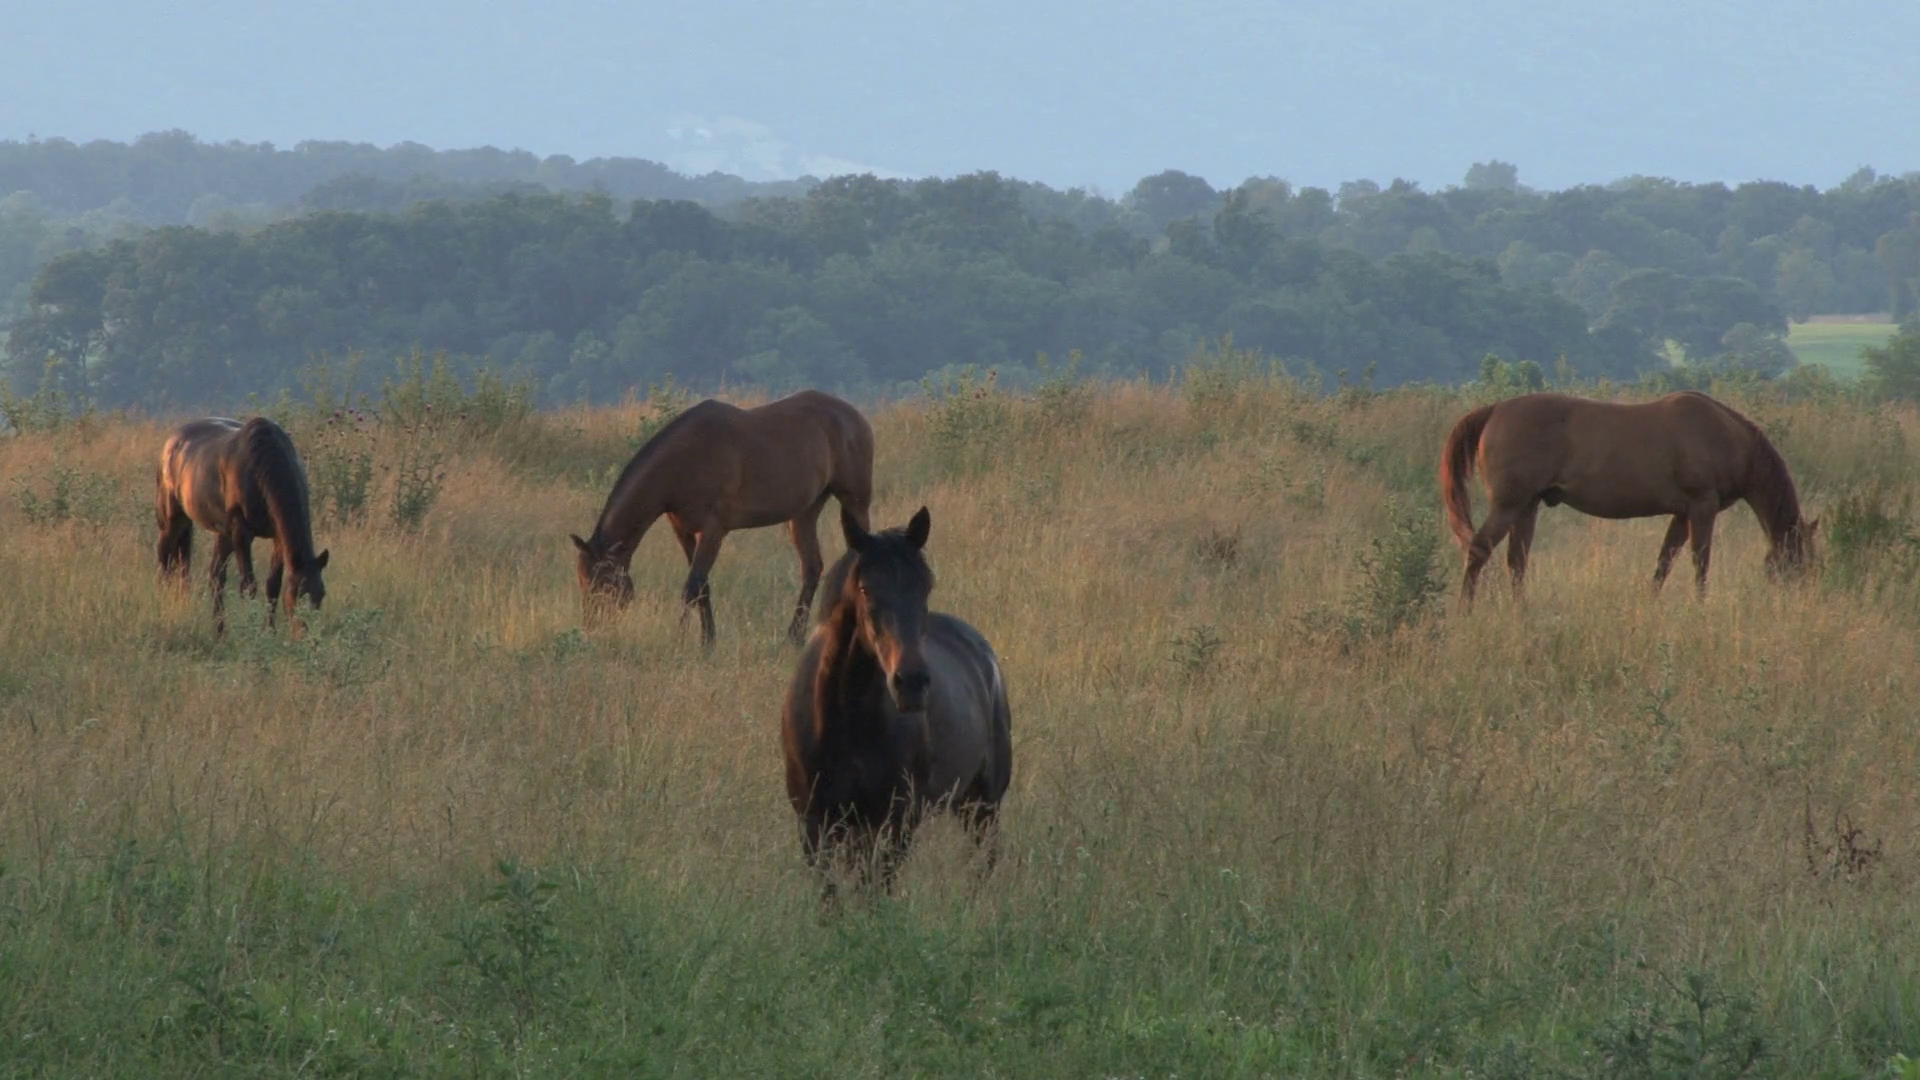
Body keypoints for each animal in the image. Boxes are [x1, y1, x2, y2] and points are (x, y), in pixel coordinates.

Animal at [156, 416, 330, 630]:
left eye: (321, 594)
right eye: (297, 593)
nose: (306, 632)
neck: (261, 467)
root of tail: (170, 442)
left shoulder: (278, 537)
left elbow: (273, 585)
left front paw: (269, 630)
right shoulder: (241, 533)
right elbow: (249, 585)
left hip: (221, 534)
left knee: (214, 577)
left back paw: (219, 630)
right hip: (172, 522)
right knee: (165, 561)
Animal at [569, 389, 874, 646]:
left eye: (602, 582)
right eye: (582, 581)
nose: (592, 628)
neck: (684, 459)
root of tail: (854, 416)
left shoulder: (714, 530)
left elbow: (691, 586)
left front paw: (680, 640)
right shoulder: (683, 530)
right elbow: (703, 586)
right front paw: (708, 641)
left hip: (856, 504)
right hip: (804, 514)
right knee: (811, 568)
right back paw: (794, 638)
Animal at [781, 506, 1013, 900]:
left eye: (926, 585)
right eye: (864, 588)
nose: (912, 683)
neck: (844, 720)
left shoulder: (893, 822)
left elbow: (875, 893)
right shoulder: (814, 824)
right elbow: (832, 898)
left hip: (983, 804)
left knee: (983, 864)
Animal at [1440, 390, 1818, 604]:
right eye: (1800, 561)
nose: (1801, 601)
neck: (1726, 436)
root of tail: (1495, 409)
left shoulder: (1682, 514)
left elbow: (1665, 561)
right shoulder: (1702, 508)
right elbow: (1700, 562)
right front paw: (1701, 606)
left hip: (1527, 507)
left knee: (1516, 561)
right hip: (1509, 505)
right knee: (1479, 550)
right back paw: (1466, 610)